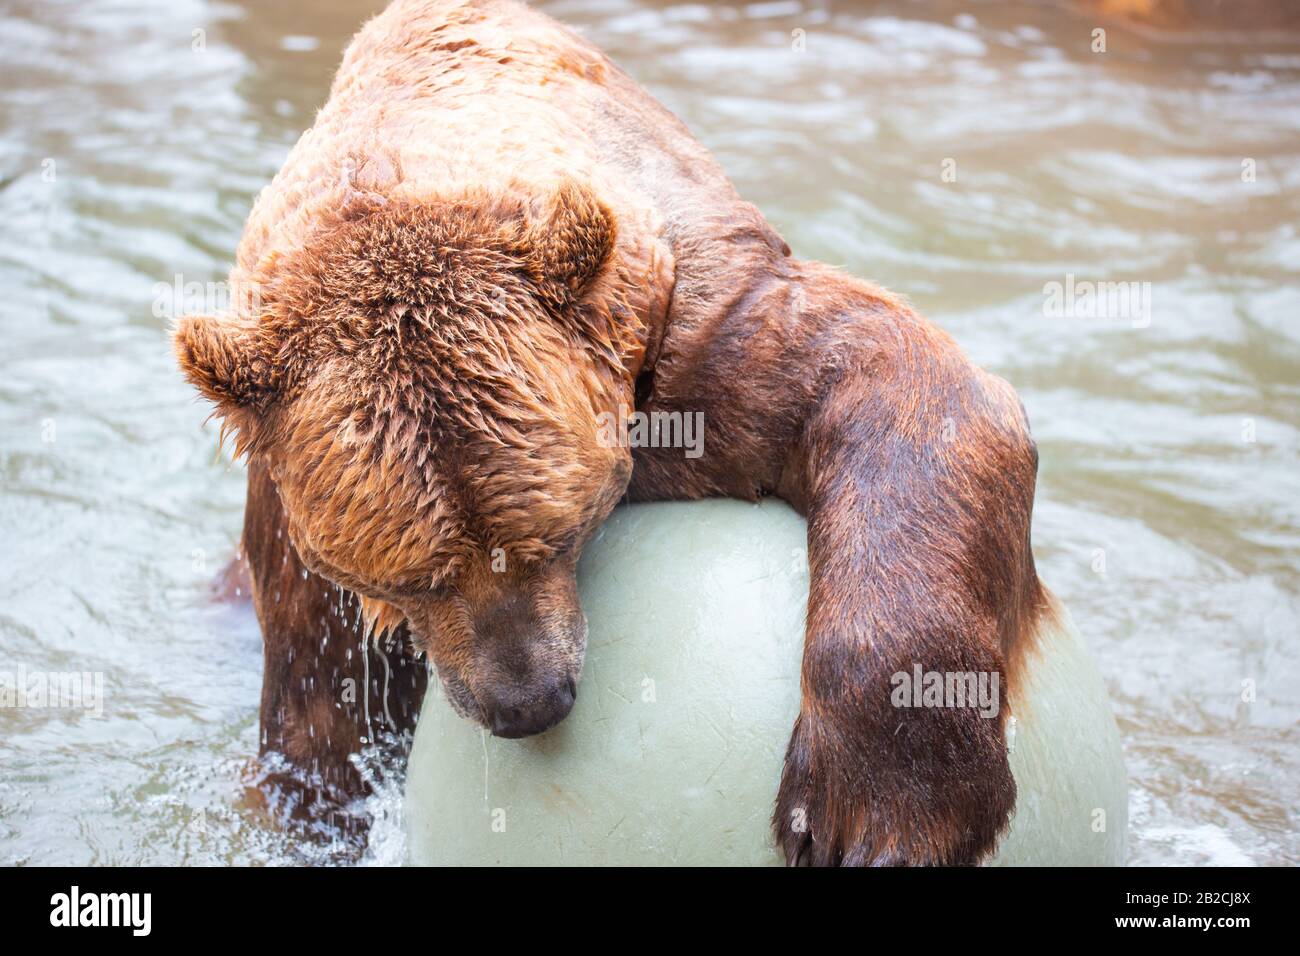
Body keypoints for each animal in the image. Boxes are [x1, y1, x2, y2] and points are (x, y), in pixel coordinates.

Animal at [175, 0, 1044, 865]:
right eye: (413, 577)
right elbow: (325, 729)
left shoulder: (694, 344)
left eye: (556, 533)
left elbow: (895, 386)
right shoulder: (300, 550)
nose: (527, 701)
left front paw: (879, 814)